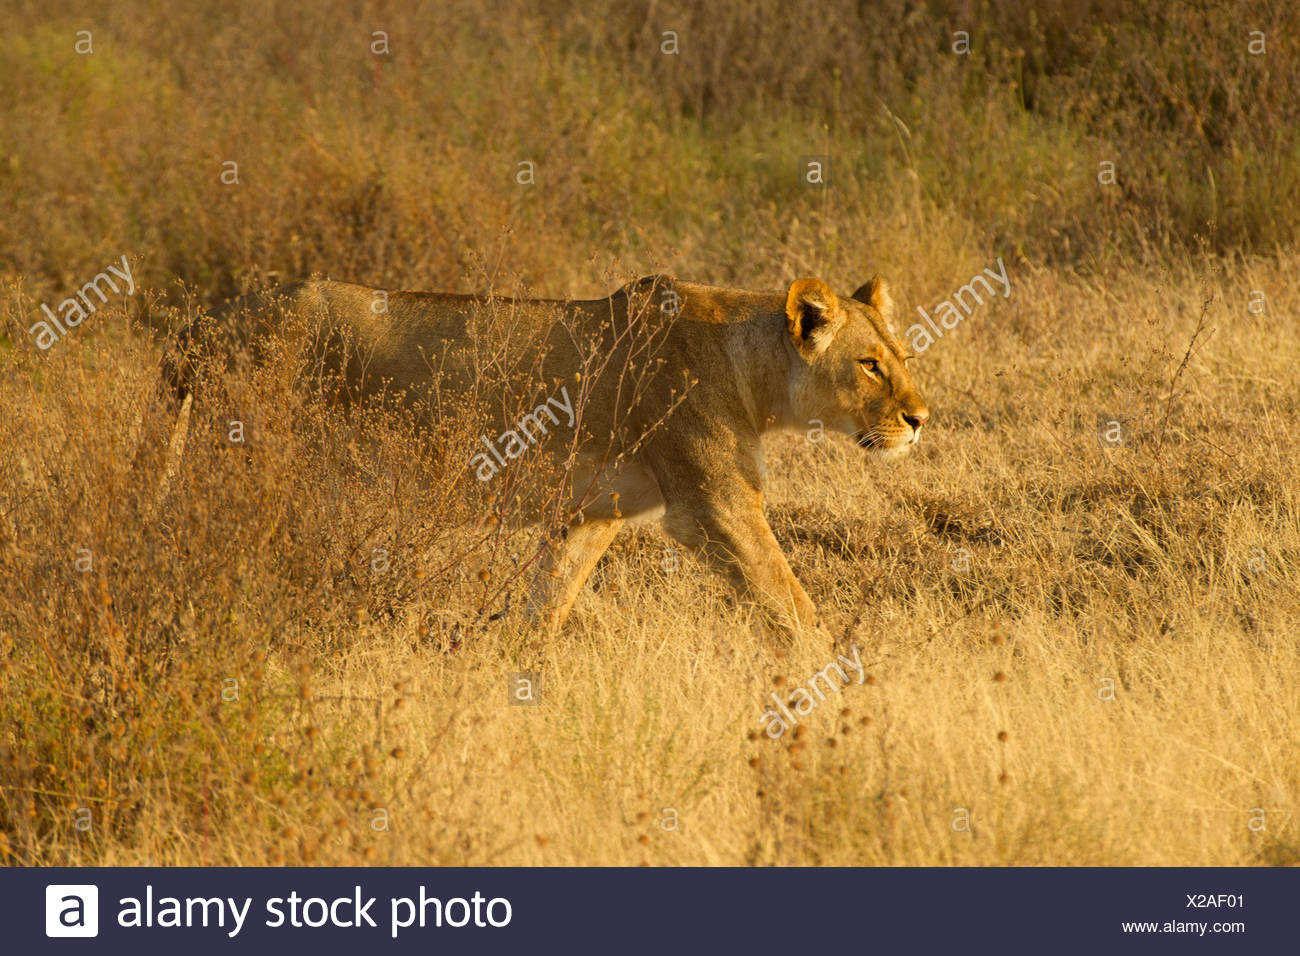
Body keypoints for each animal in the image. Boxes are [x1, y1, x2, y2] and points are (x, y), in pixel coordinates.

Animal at [161, 274, 929, 638]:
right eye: (869, 366)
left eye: (900, 357)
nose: (921, 420)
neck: (752, 368)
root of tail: (203, 320)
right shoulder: (715, 503)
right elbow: (791, 608)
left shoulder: (590, 514)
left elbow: (546, 610)